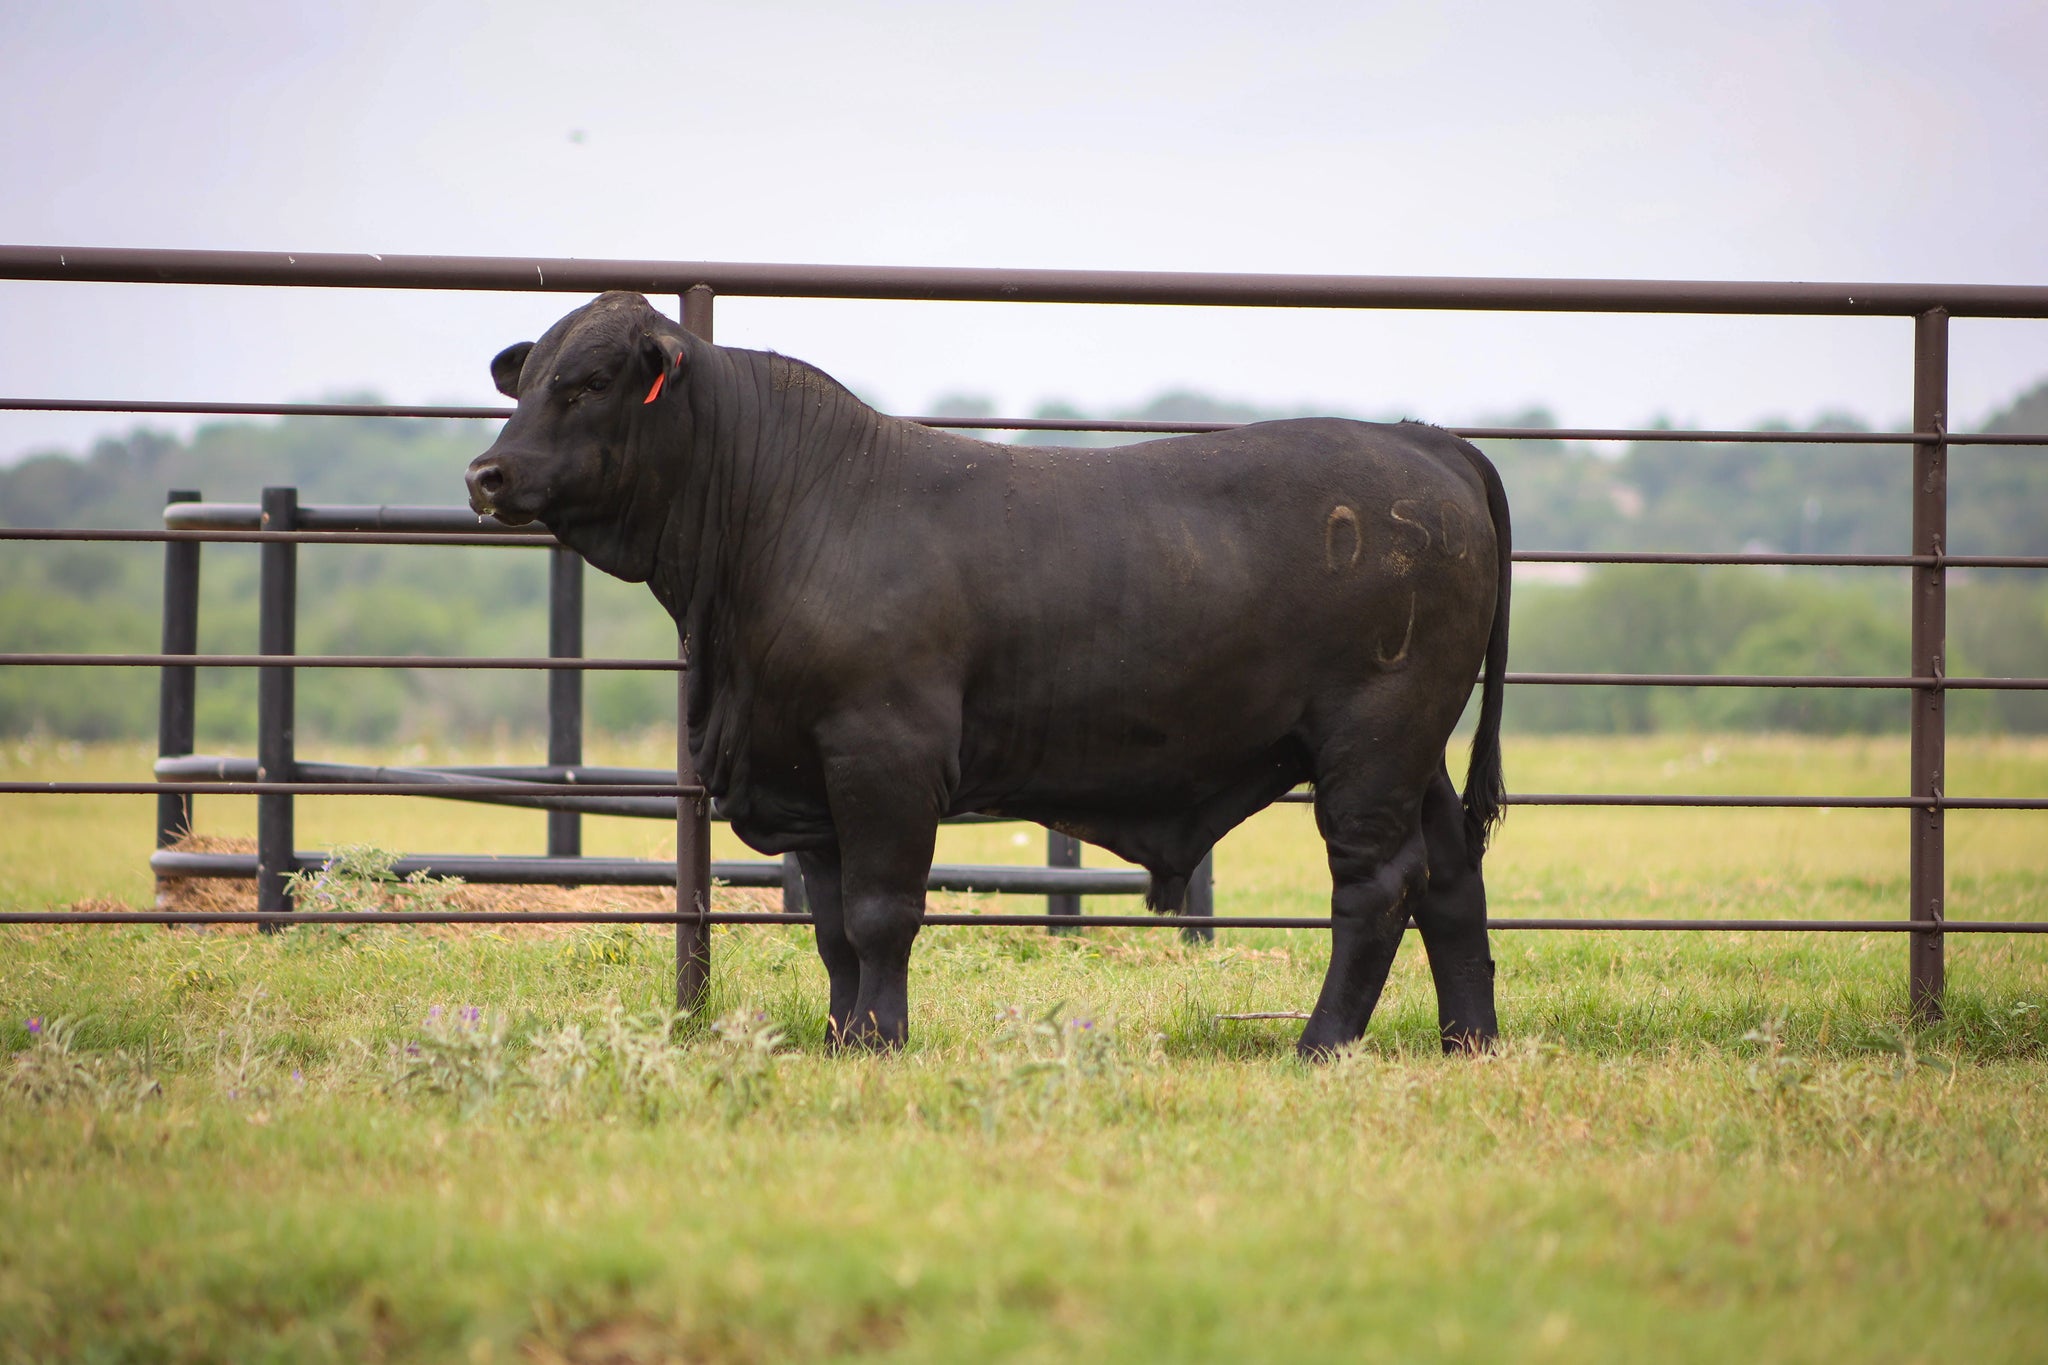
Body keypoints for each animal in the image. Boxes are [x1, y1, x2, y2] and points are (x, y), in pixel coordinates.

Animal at [466, 292, 1511, 1057]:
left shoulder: (885, 752)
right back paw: (1470, 1039)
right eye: (529, 378)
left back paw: (1322, 1042)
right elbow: (833, 925)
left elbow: (883, 912)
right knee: (1453, 879)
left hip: (1373, 741)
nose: (487, 473)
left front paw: (880, 1040)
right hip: (1414, 750)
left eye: (593, 380)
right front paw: (843, 1036)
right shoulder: (804, 771)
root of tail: (1423, 437)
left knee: (1377, 886)